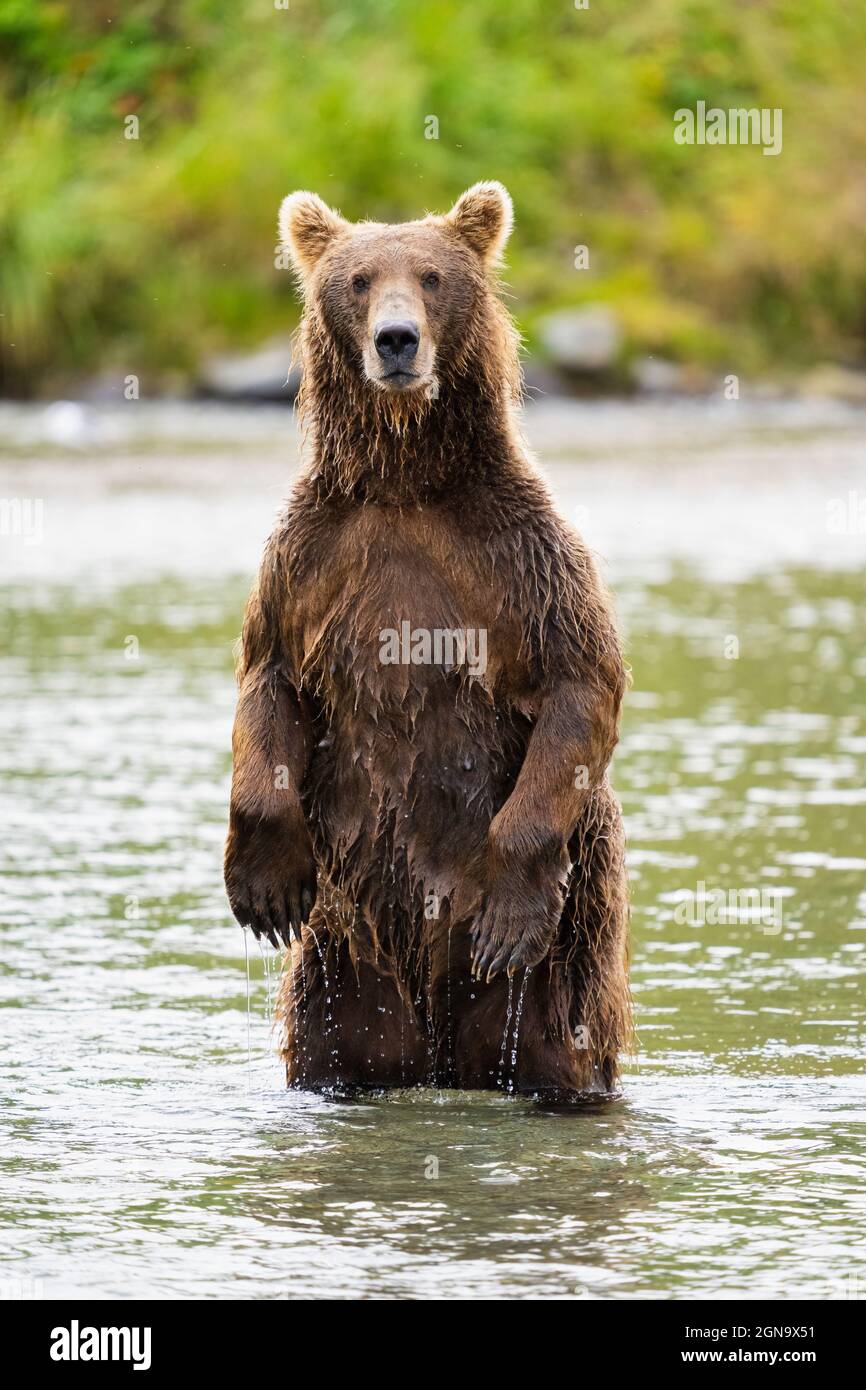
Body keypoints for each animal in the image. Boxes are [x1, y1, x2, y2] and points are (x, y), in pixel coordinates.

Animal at [224, 182, 631, 1097]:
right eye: (358, 279)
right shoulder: (309, 558)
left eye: (435, 276)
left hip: (556, 971)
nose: (396, 339)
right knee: (333, 1047)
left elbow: (580, 682)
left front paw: (510, 909)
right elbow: (269, 679)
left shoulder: (520, 554)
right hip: (347, 965)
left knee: (559, 1047)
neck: (406, 480)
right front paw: (263, 888)